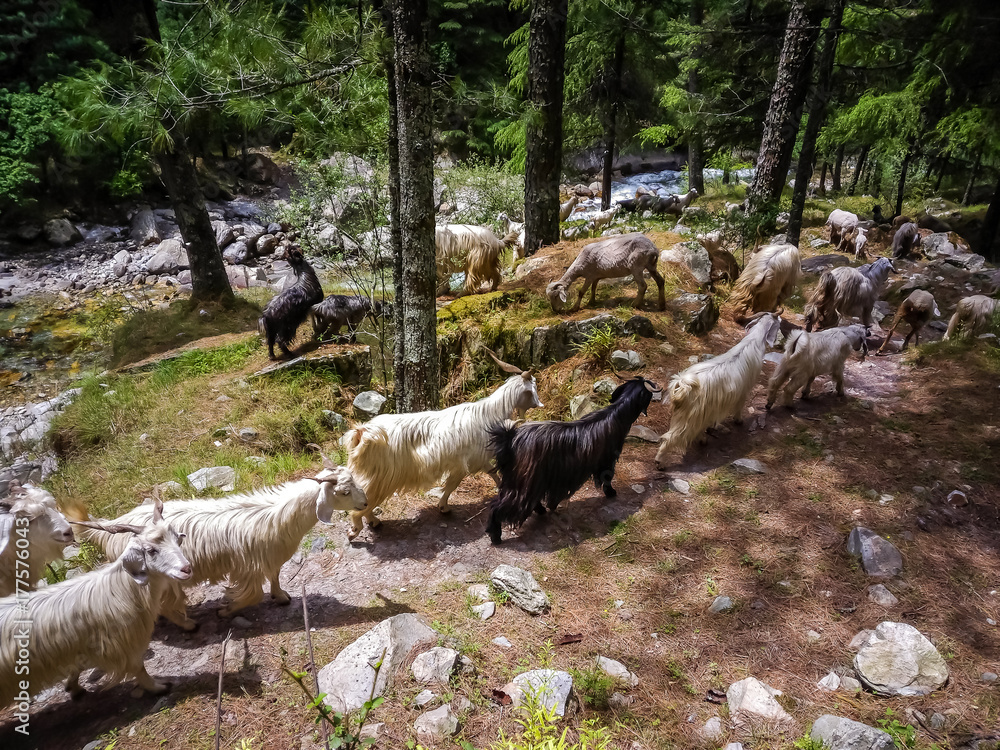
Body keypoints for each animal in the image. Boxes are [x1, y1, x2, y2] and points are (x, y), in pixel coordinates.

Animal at [0, 499, 191, 705]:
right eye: (151, 550)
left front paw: (73, 688)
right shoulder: (118, 644)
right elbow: (138, 667)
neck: (122, 589)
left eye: (178, 541)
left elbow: (77, 666)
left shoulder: (83, 645)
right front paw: (157, 687)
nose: (186, 569)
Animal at [67, 467, 366, 629]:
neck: (276, 515)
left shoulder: (269, 557)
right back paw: (187, 624)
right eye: (344, 492)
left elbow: (275, 577)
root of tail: (111, 527)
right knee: (164, 603)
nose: (364, 504)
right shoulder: (248, 567)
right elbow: (252, 595)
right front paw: (226, 610)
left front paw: (281, 597)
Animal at [342, 350, 543, 541]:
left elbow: (493, 474)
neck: (488, 415)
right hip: (381, 479)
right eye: (533, 386)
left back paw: (373, 521)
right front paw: (444, 507)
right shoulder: (462, 464)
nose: (540, 405)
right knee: (360, 505)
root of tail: (362, 432)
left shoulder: (479, 458)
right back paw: (356, 530)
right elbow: (451, 486)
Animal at [485, 377, 659, 544]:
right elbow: (608, 478)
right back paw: (495, 537)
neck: (616, 414)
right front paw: (611, 493)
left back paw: (540, 510)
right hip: (524, 479)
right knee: (498, 506)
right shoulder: (607, 459)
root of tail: (509, 440)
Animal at [654, 313, 781, 468]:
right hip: (690, 416)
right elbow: (739, 406)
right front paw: (738, 421)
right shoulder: (744, 390)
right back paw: (660, 461)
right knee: (672, 437)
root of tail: (682, 384)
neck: (753, 342)